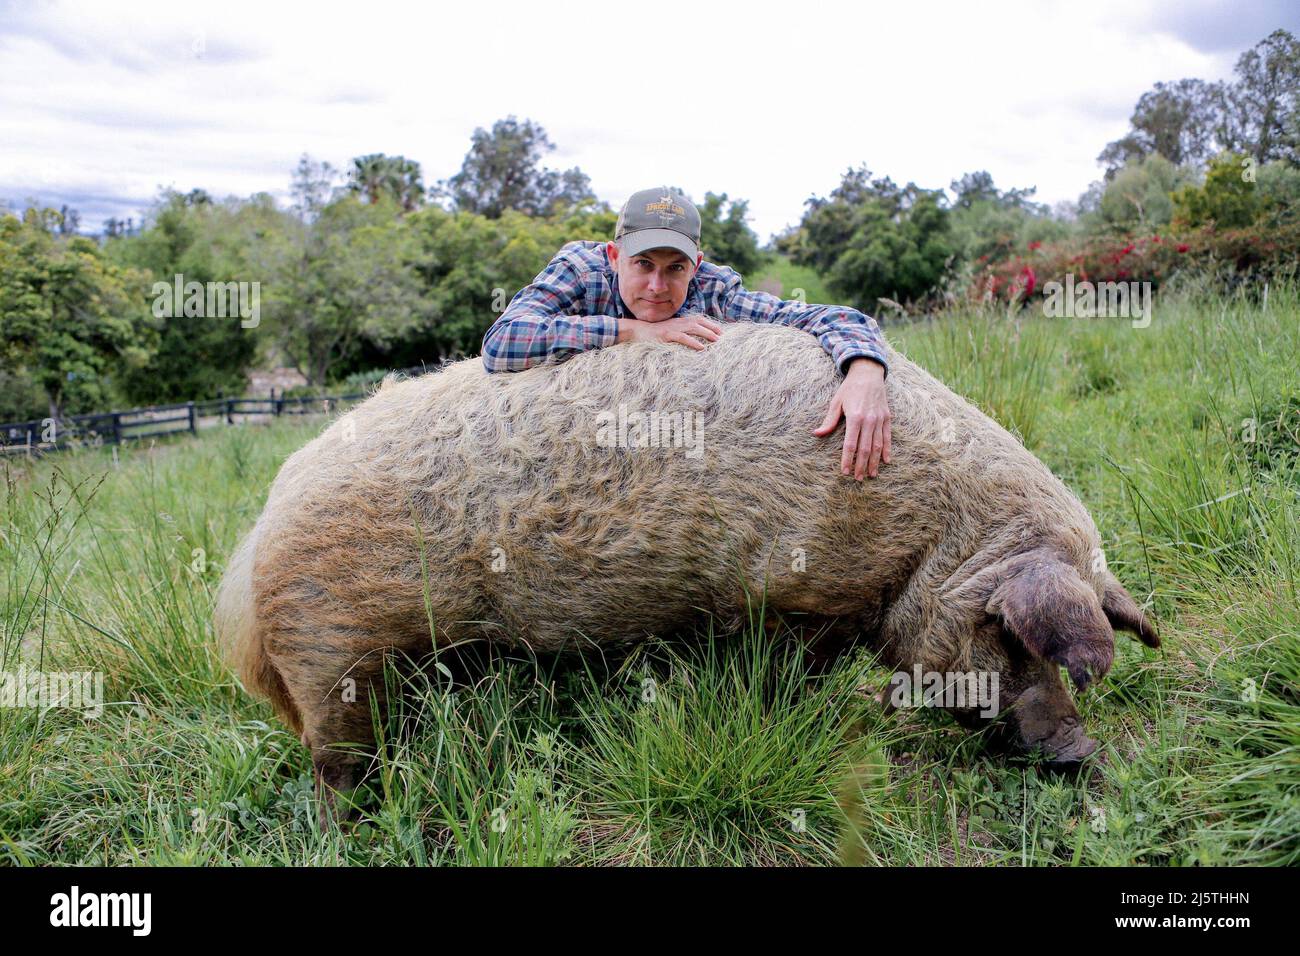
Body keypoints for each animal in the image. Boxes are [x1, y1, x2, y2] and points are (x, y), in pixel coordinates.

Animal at [215, 322, 1159, 821]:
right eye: (1010, 633)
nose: (1080, 749)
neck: (925, 541)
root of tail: (254, 538)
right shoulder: (792, 591)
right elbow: (787, 671)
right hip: (333, 650)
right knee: (335, 757)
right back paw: (351, 827)